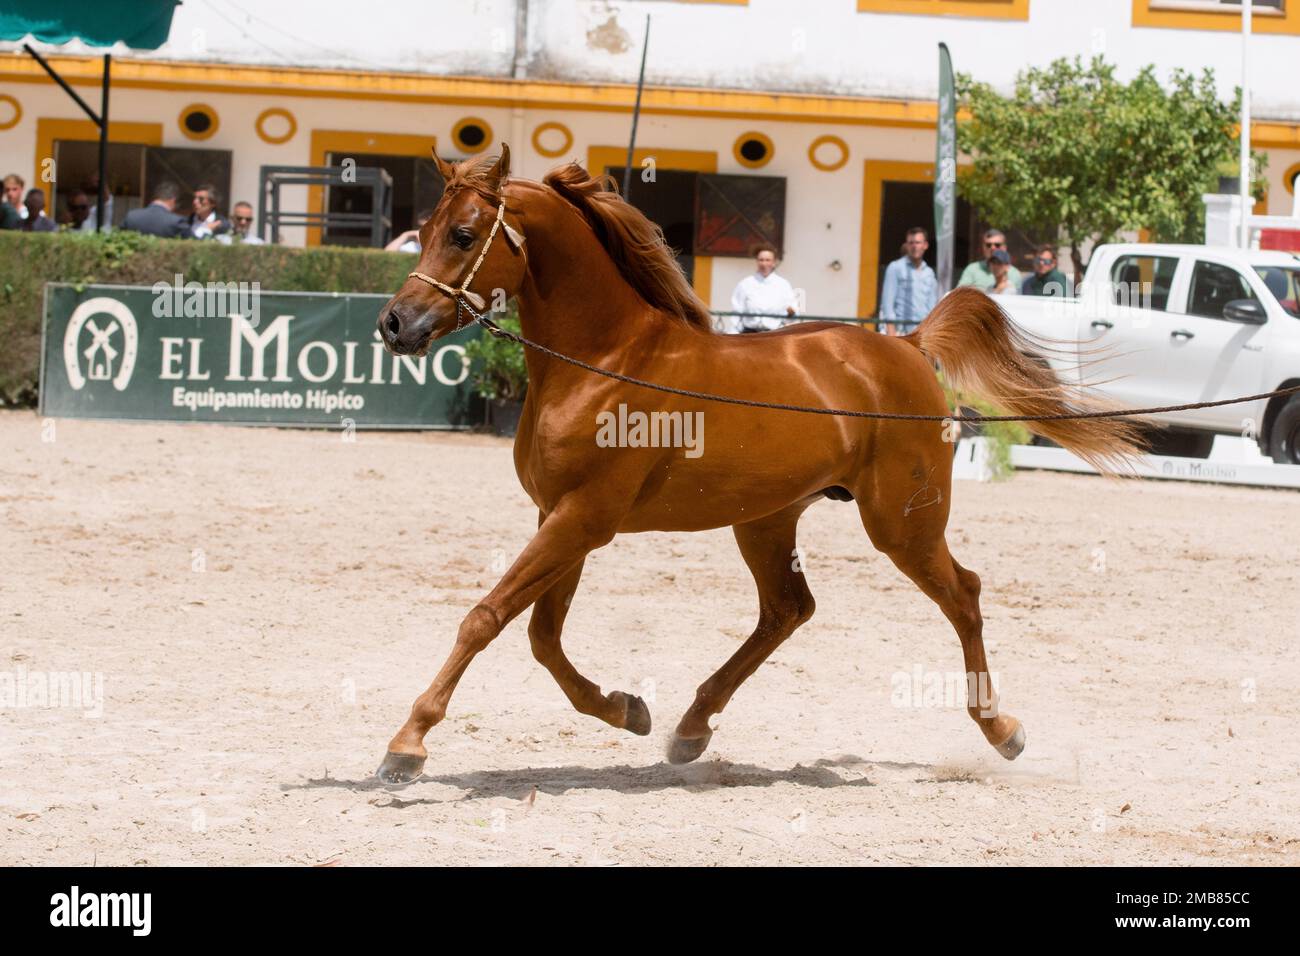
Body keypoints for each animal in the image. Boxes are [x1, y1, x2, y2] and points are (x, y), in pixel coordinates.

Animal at [372, 144, 1140, 785]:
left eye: (463, 235)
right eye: (425, 226)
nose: (394, 324)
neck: (604, 361)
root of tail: (908, 344)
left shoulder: (583, 518)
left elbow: (487, 617)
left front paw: (407, 746)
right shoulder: (559, 517)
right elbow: (540, 636)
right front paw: (629, 708)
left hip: (901, 524)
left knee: (964, 595)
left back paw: (1002, 730)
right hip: (767, 520)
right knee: (787, 610)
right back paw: (689, 728)